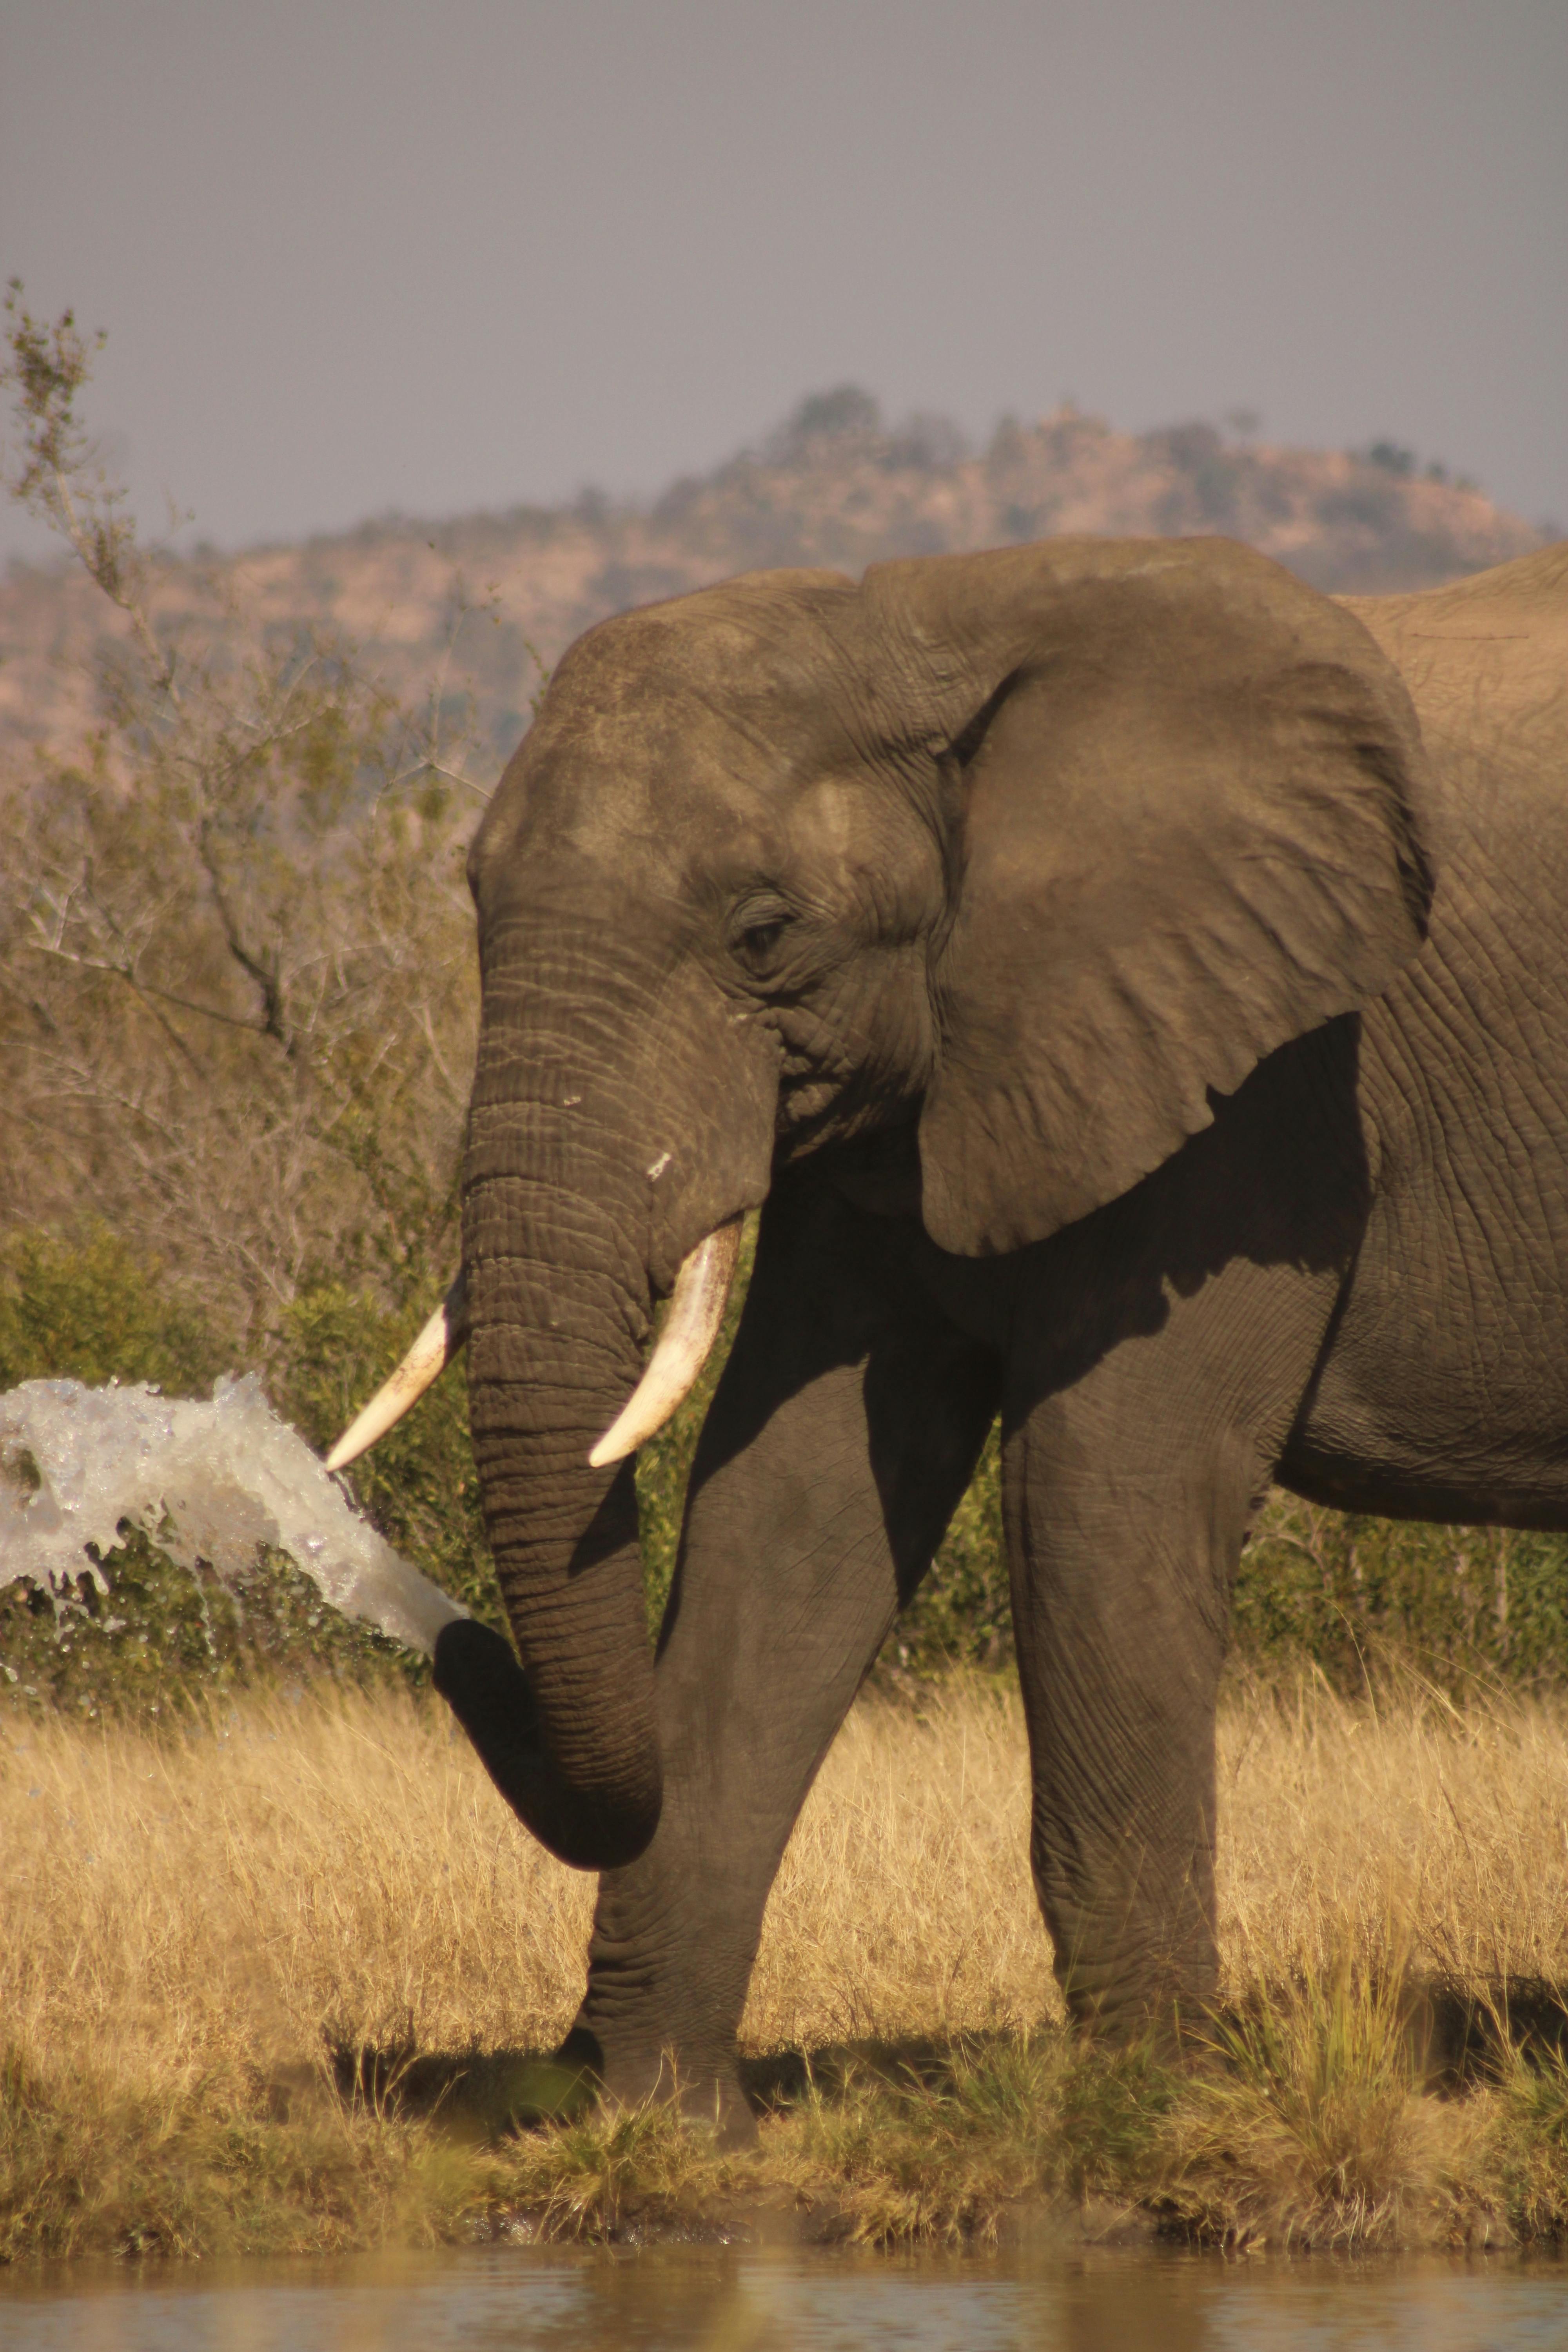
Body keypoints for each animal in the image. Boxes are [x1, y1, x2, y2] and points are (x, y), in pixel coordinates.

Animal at [331, 531, 1568, 2136]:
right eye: (473, 906)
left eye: (763, 934)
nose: (455, 1636)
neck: (914, 624)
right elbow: (786, 1511)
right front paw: (659, 2123)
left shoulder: (1258, 1081)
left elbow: (1101, 1489)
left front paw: (1150, 2107)